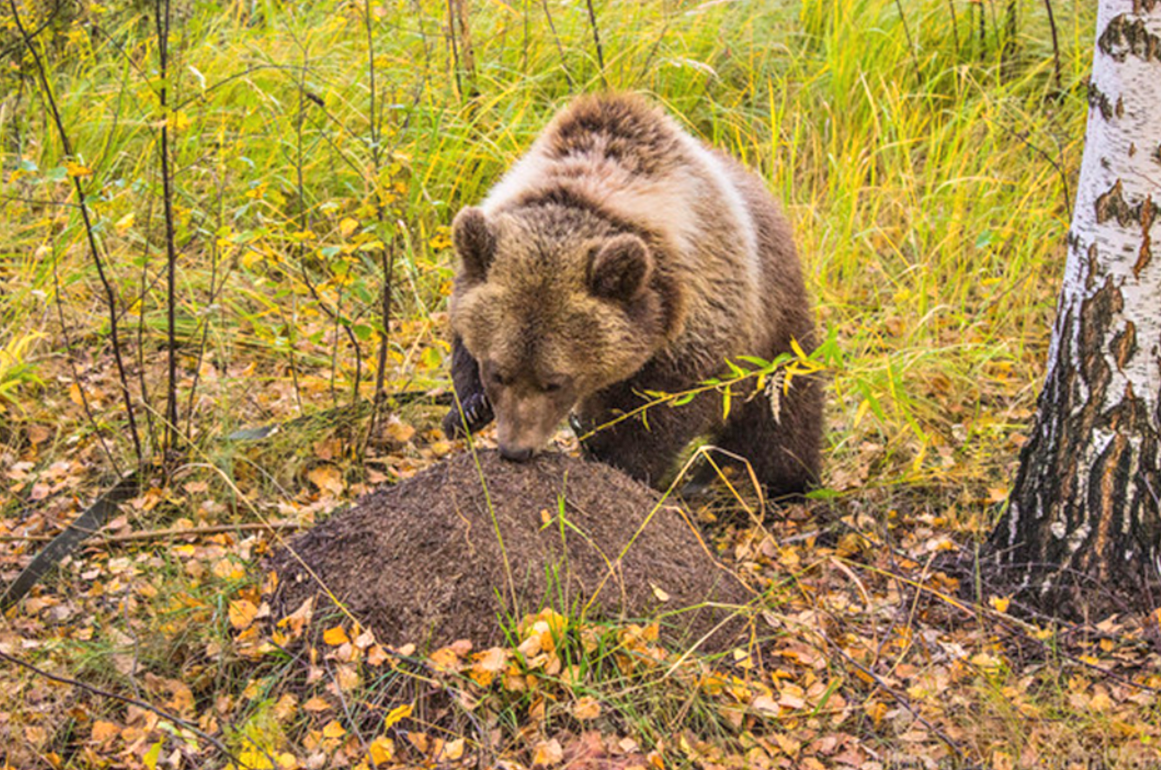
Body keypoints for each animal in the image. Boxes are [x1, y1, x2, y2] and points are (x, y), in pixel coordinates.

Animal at [438, 93, 821, 499]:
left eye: (555, 381)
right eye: (498, 372)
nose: (515, 450)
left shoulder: (697, 320)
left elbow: (661, 411)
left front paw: (623, 464)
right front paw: (469, 409)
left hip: (775, 323)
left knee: (783, 409)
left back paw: (789, 479)